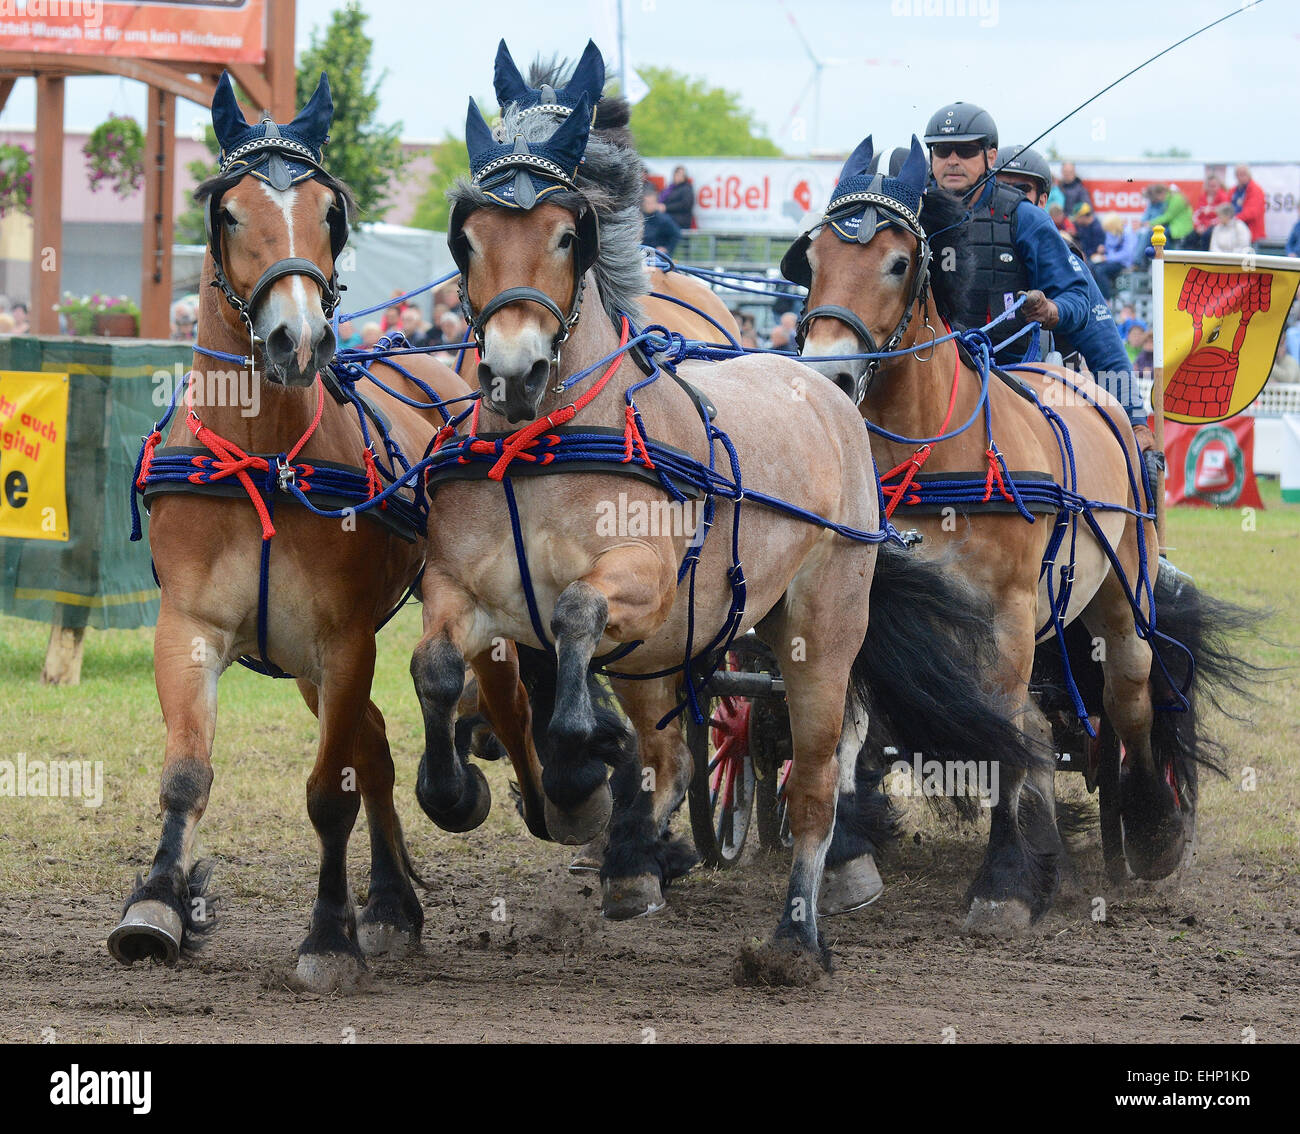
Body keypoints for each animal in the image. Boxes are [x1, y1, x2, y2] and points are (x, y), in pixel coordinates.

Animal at [105, 73, 543, 993]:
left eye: (331, 213)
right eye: (229, 211)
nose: (296, 338)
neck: (265, 457)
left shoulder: (344, 641)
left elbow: (328, 793)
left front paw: (327, 936)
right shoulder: (190, 629)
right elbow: (186, 774)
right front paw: (156, 904)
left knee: (505, 707)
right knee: (375, 745)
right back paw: (391, 903)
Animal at [410, 88, 1050, 977]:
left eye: (567, 235)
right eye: (466, 238)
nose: (513, 371)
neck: (545, 446)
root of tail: (816, 384)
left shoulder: (643, 583)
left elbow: (574, 612)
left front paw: (575, 766)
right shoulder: (462, 591)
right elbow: (435, 667)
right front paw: (458, 788)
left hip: (821, 631)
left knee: (816, 782)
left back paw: (799, 931)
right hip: (669, 652)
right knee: (674, 755)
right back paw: (636, 863)